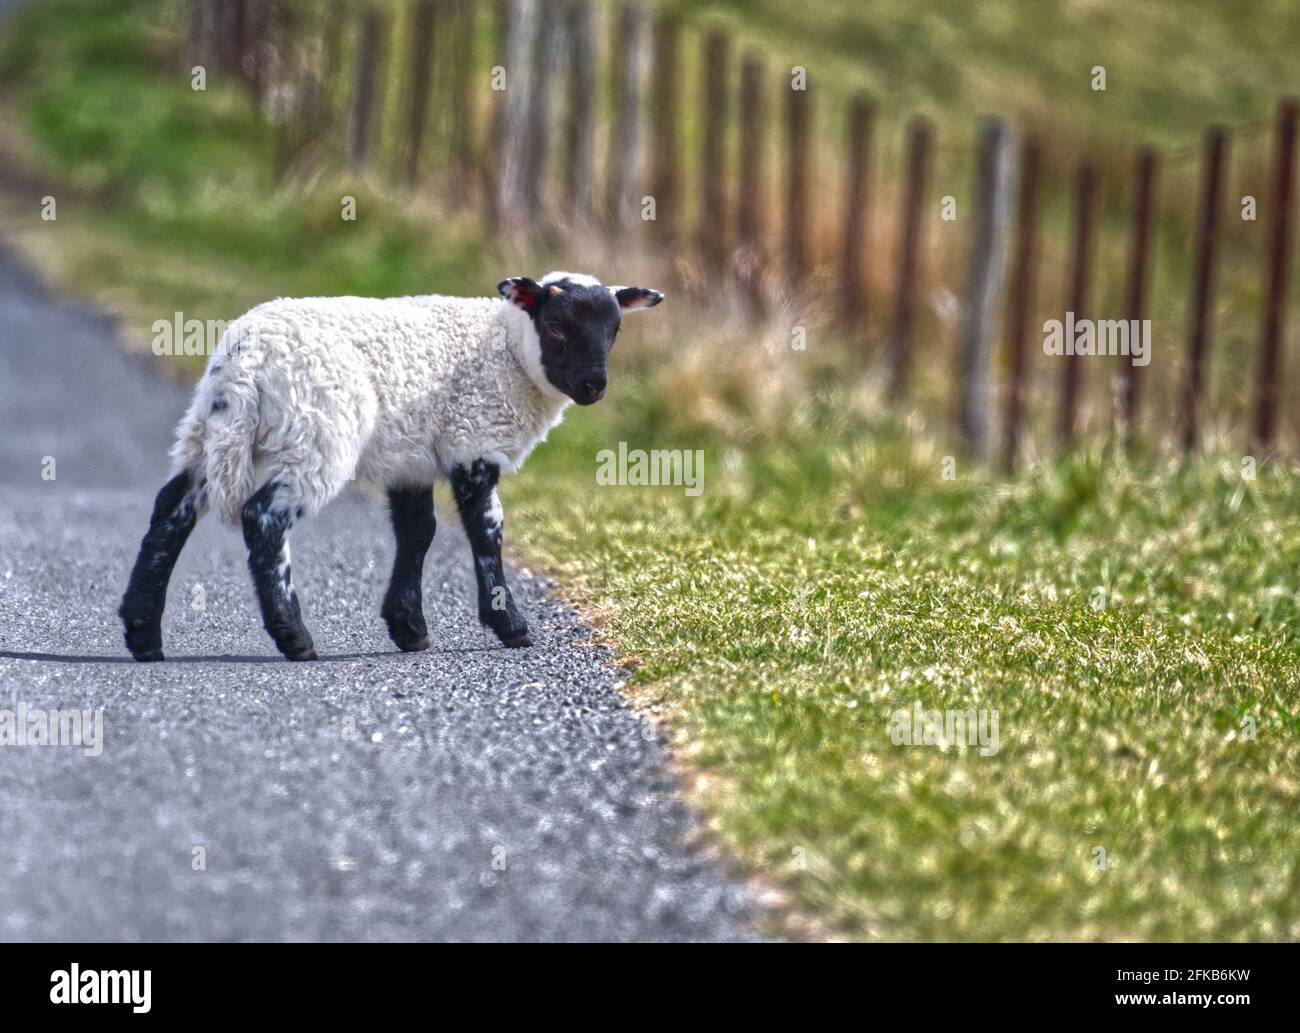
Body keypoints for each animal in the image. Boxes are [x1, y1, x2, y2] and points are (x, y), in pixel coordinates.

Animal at [119, 272, 664, 661]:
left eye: (614, 331)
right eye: (556, 327)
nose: (594, 386)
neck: (508, 352)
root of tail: (244, 360)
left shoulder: (412, 458)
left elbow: (417, 532)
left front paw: (408, 628)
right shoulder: (474, 438)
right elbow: (487, 532)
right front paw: (510, 625)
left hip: (209, 430)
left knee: (171, 508)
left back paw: (143, 633)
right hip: (315, 433)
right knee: (263, 518)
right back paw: (295, 638)